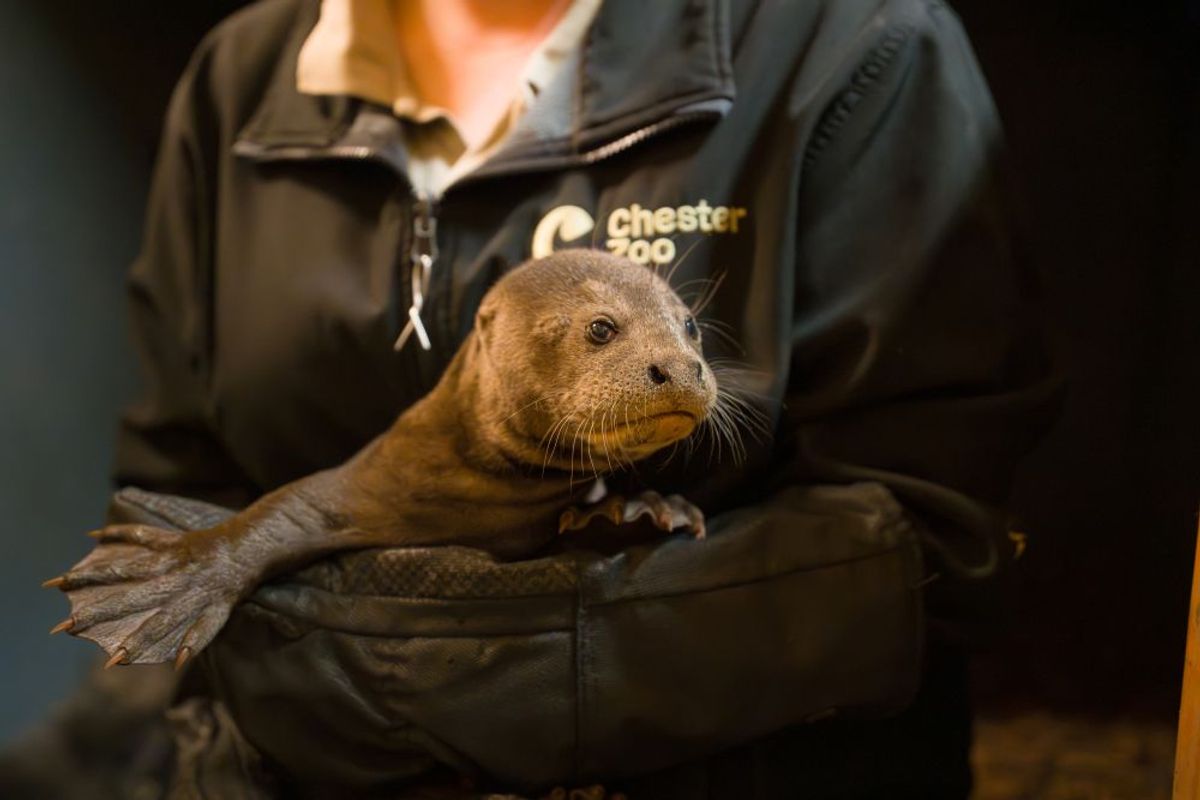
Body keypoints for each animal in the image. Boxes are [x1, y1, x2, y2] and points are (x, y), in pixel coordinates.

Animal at [45, 251, 718, 669]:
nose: (681, 368)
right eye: (601, 327)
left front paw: (641, 510)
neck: (483, 496)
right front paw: (170, 584)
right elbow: (278, 512)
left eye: (690, 326)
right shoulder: (370, 475)